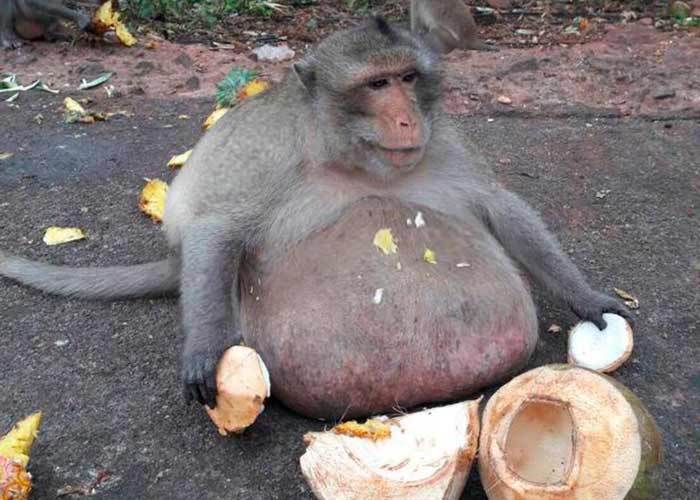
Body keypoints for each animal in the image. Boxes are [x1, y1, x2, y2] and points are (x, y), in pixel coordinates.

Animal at [0, 17, 631, 418]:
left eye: (408, 78)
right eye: (376, 84)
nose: (407, 119)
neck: (351, 156)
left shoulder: (444, 142)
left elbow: (500, 205)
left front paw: (586, 297)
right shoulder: (272, 151)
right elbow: (218, 228)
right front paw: (203, 346)